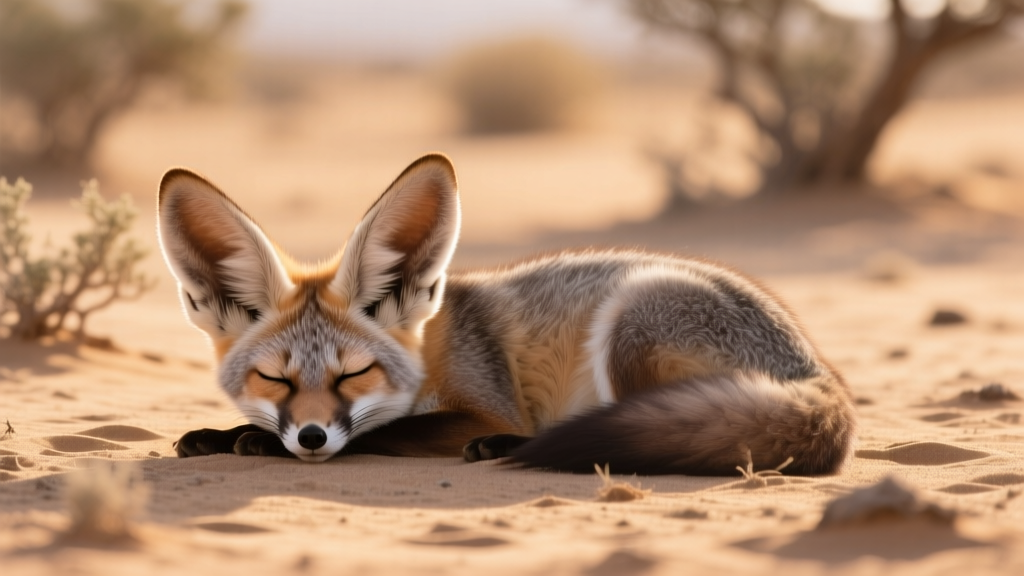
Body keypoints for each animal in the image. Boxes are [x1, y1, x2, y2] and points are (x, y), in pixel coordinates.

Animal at [158, 153, 856, 475]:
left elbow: (384, 430)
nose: (308, 437)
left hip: (630, 318)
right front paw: (220, 433)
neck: (430, 349)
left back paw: (515, 449)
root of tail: (820, 371)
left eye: (353, 374)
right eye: (274, 379)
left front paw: (255, 442)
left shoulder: (485, 403)